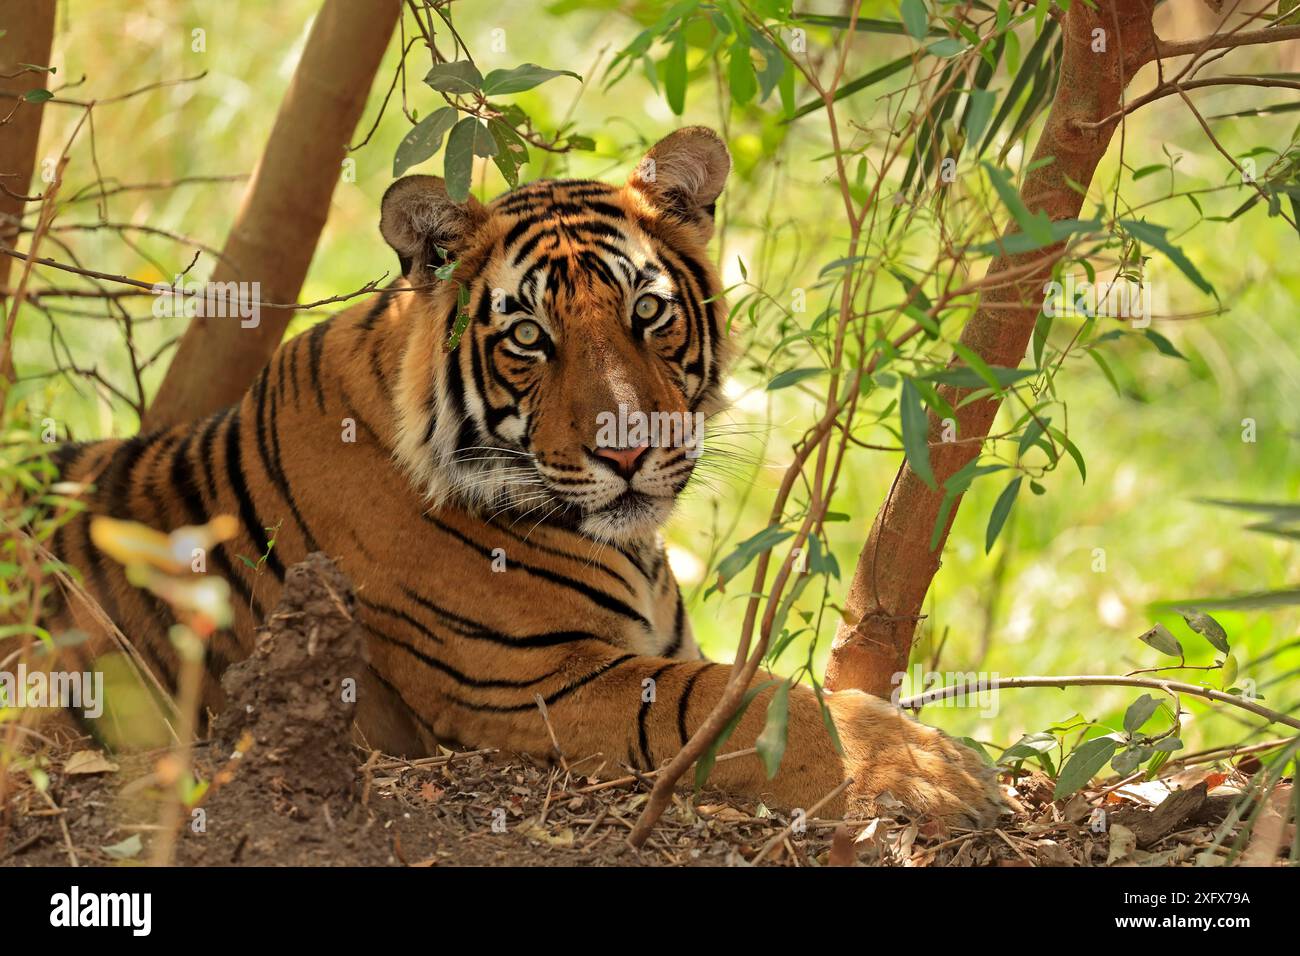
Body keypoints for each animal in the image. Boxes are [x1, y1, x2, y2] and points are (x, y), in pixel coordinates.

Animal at [39, 127, 1001, 825]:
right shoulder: (526, 684)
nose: (627, 451)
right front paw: (935, 775)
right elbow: (742, 701)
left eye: (647, 312)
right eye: (530, 336)